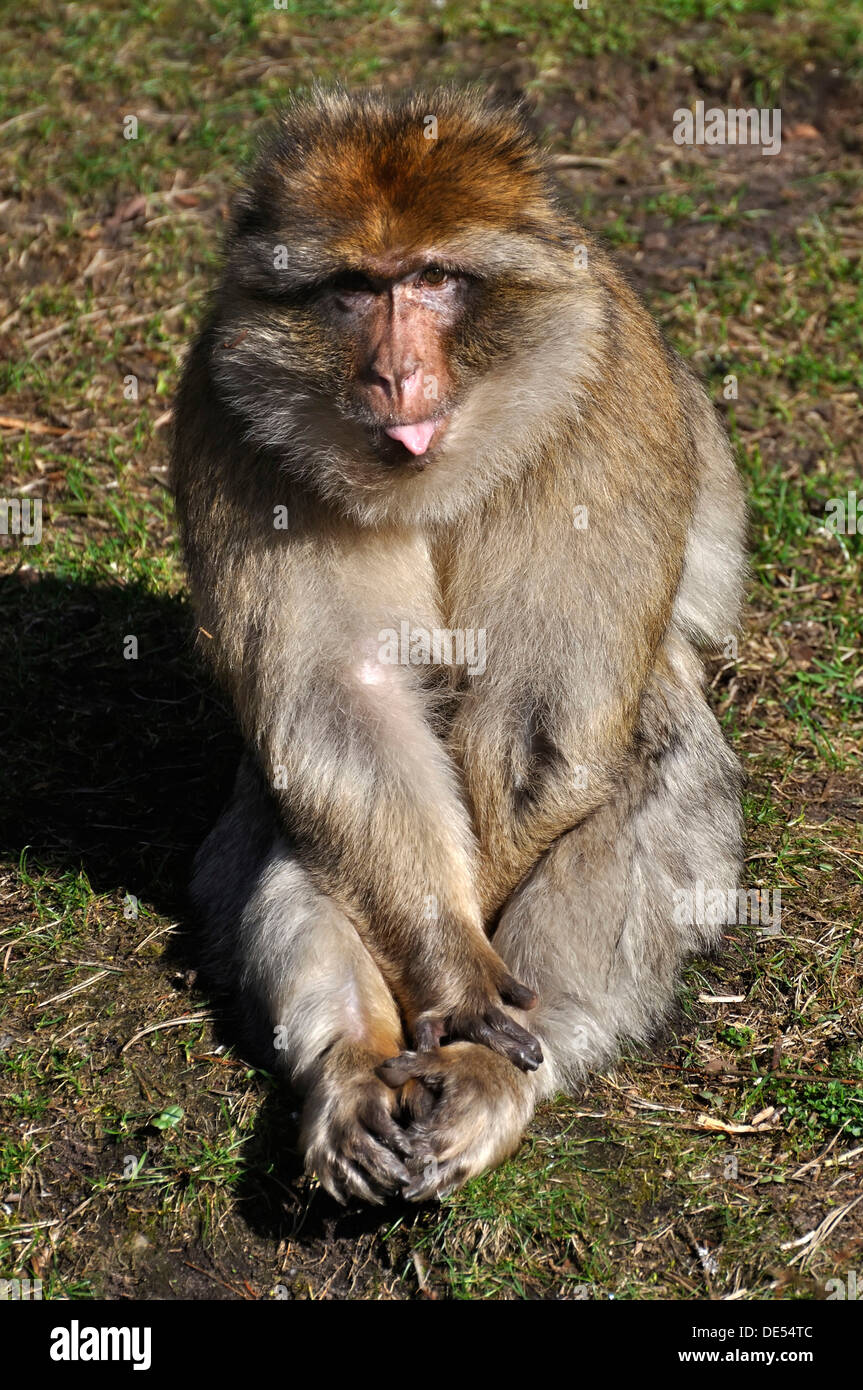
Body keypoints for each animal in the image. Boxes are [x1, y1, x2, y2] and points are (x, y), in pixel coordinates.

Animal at [170, 87, 746, 1204]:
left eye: (433, 280)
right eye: (354, 290)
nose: (396, 375)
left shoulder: (601, 400)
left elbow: (542, 719)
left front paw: (474, 1023)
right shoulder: (225, 422)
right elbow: (339, 706)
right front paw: (449, 974)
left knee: (649, 751)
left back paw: (483, 1080)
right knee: (291, 805)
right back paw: (352, 1062)